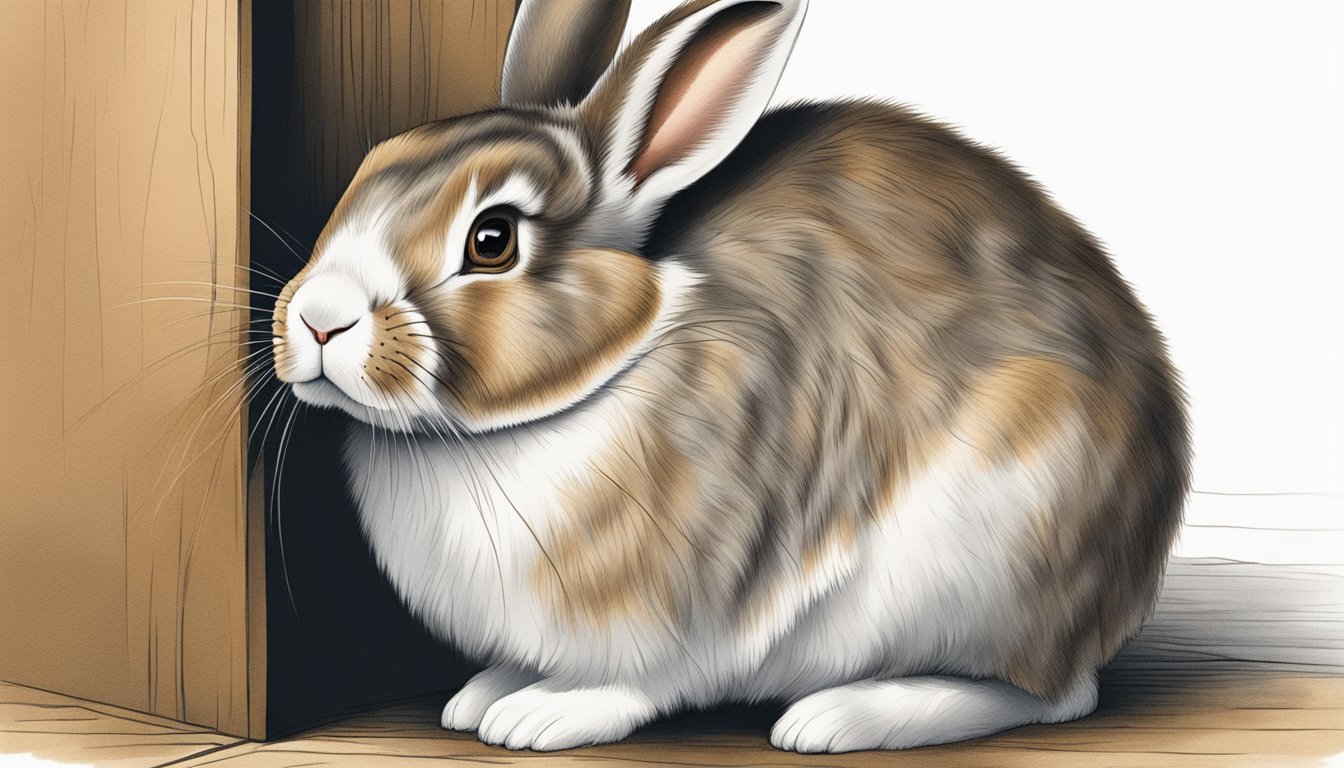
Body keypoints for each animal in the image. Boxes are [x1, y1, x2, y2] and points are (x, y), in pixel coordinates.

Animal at [271, 0, 1190, 753]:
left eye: (491, 239)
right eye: (376, 163)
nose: (317, 318)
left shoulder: (691, 599)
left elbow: (639, 682)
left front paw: (537, 714)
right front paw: (485, 694)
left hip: (999, 552)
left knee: (1049, 696)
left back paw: (840, 717)